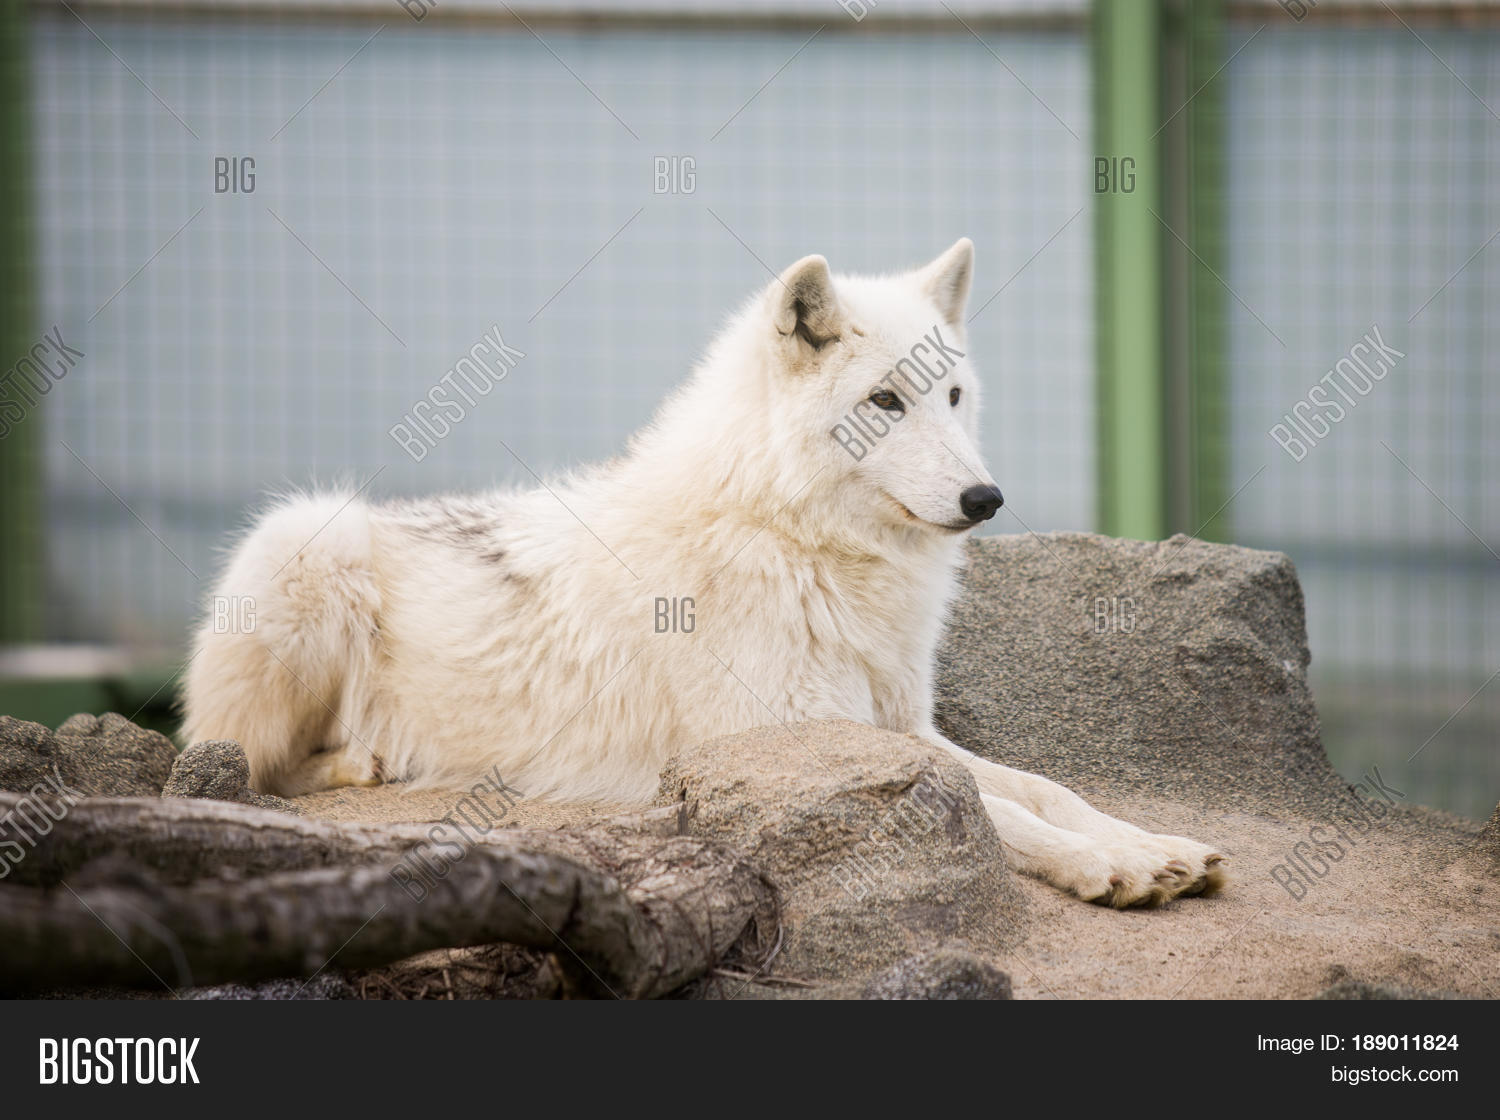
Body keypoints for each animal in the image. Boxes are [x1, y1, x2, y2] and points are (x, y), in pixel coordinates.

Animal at [181, 239, 1225, 907]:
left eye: (956, 396)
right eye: (886, 402)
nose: (986, 498)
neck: (797, 545)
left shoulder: (898, 731)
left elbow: (1045, 790)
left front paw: (1153, 846)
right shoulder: (793, 756)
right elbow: (1004, 817)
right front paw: (1114, 871)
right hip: (307, 545)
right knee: (242, 767)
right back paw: (360, 761)